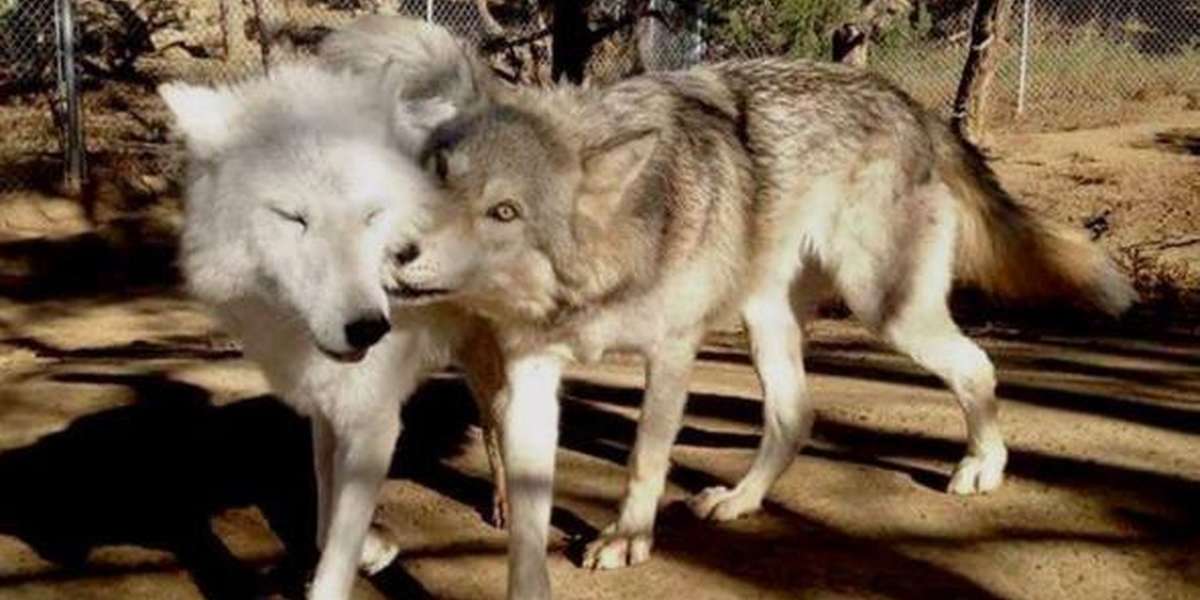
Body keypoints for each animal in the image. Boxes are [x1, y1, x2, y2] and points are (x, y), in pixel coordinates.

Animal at [160, 17, 507, 600]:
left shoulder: (375, 421)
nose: (370, 329)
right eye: (293, 217)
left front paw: (355, 557)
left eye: (371, 215)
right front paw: (376, 546)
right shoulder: (326, 408)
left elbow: (337, 555)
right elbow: (326, 518)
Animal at [382, 42, 1137, 597]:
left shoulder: (672, 351)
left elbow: (644, 460)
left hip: (887, 312)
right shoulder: (531, 372)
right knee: (796, 415)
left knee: (977, 366)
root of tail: (908, 102)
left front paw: (626, 538)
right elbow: (528, 513)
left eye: (503, 212)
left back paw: (982, 467)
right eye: (435, 178)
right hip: (766, 321)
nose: (393, 249)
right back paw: (740, 501)